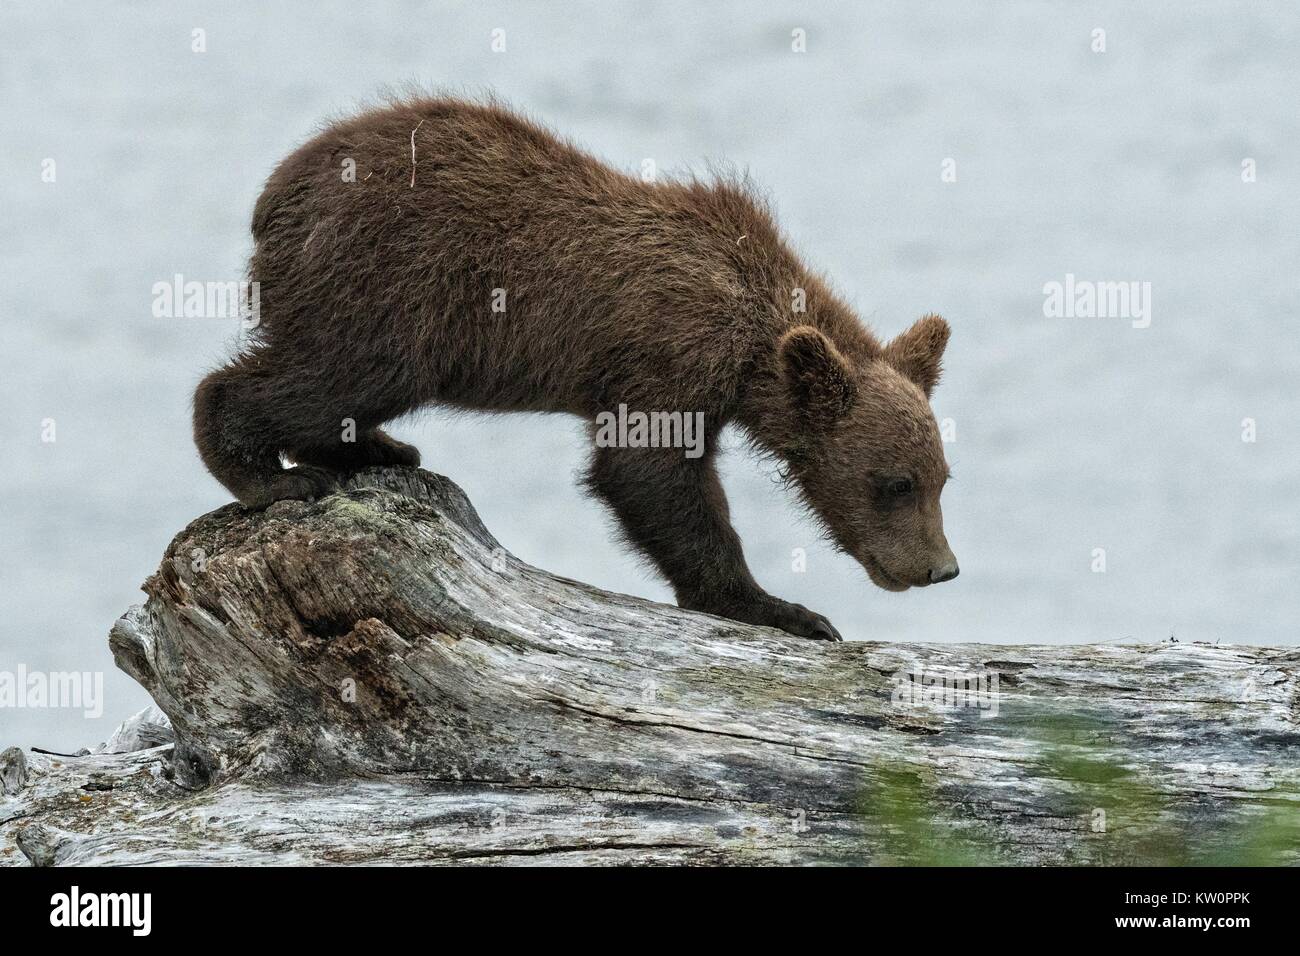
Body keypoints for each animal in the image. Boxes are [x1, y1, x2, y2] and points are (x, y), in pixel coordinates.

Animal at [194, 94, 959, 642]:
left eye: (941, 479)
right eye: (895, 484)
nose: (939, 568)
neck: (751, 338)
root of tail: (275, 197)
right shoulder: (670, 354)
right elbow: (650, 476)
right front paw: (782, 608)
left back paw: (380, 449)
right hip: (390, 287)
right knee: (331, 377)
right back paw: (264, 473)